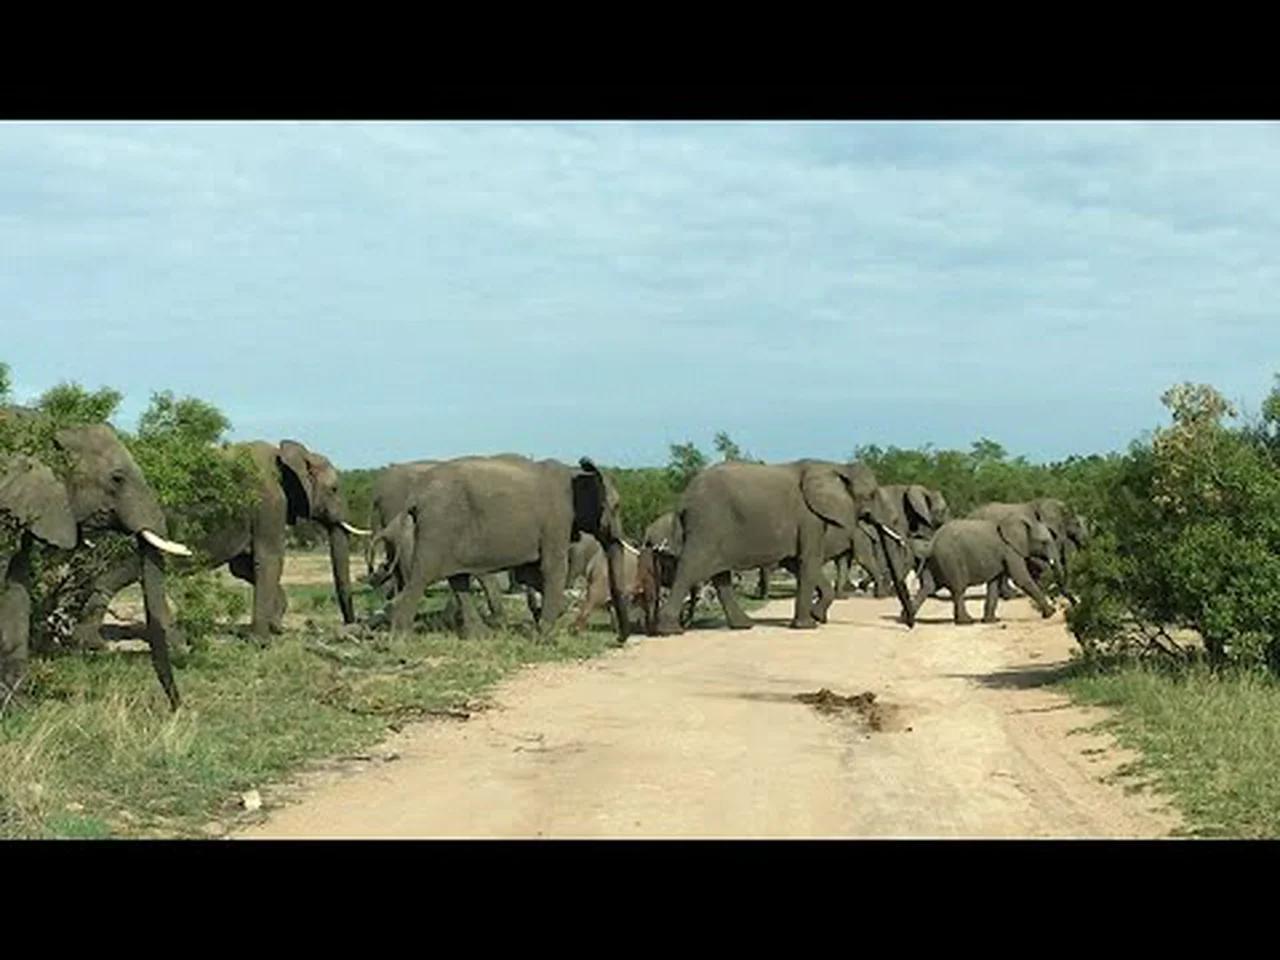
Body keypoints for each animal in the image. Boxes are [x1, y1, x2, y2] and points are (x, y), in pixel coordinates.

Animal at [72, 439, 369, 648]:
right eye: (334, 489)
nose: (350, 628)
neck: (286, 454)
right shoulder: (270, 503)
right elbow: (269, 558)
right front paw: (262, 641)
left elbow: (243, 567)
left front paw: (276, 625)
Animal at [387, 456, 630, 642]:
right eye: (617, 506)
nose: (619, 639)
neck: (578, 472)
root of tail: (416, 496)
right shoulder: (557, 520)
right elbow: (552, 567)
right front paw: (545, 637)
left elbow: (529, 573)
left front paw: (549, 614)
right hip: (439, 527)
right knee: (422, 576)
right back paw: (400, 640)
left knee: (458, 578)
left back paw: (481, 636)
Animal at [653, 460, 914, 635]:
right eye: (871, 495)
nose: (908, 625)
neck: (837, 467)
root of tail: (684, 499)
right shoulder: (810, 518)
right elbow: (808, 562)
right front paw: (807, 626)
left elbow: (799, 564)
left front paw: (818, 617)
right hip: (708, 523)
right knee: (691, 566)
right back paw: (670, 630)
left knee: (720, 575)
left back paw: (744, 625)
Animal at [907, 516, 1058, 625]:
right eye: (1044, 542)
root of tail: (932, 542)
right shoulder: (1010, 550)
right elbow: (1021, 579)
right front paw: (1051, 613)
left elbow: (994, 585)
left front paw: (991, 621)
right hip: (950, 559)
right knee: (958, 589)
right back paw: (966, 622)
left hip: (934, 561)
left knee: (928, 587)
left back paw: (907, 619)